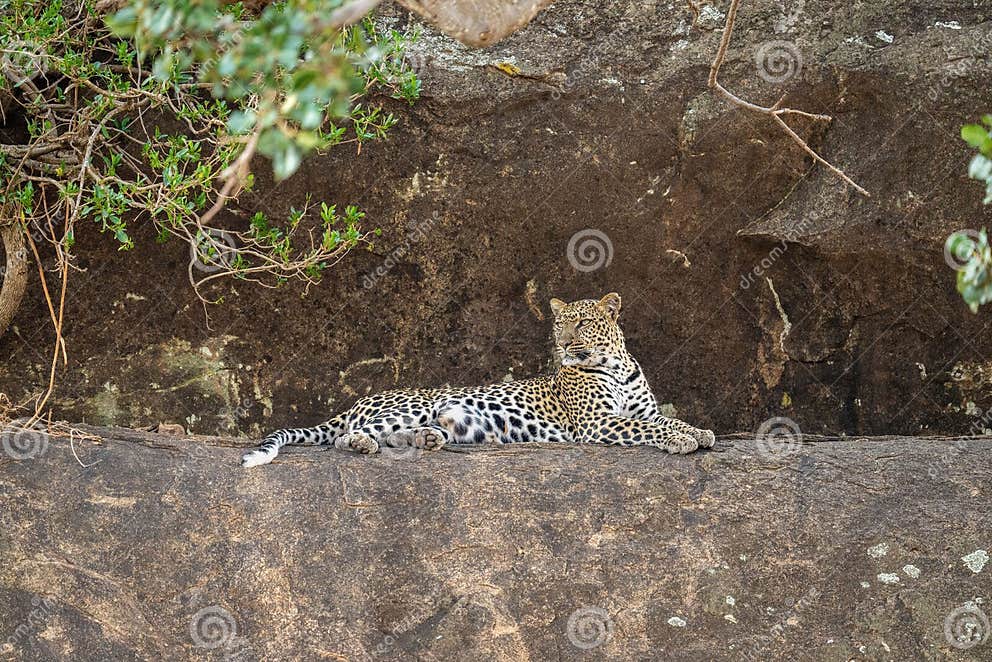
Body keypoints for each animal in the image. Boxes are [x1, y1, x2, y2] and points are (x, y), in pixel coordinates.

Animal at [240, 292, 715, 467]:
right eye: (558, 325)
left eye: (580, 324)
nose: (562, 344)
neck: (615, 364)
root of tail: (356, 402)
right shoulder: (596, 423)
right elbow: (648, 429)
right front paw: (682, 440)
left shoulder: (637, 410)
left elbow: (663, 419)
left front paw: (698, 431)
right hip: (409, 406)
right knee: (346, 437)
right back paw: (362, 443)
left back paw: (429, 440)